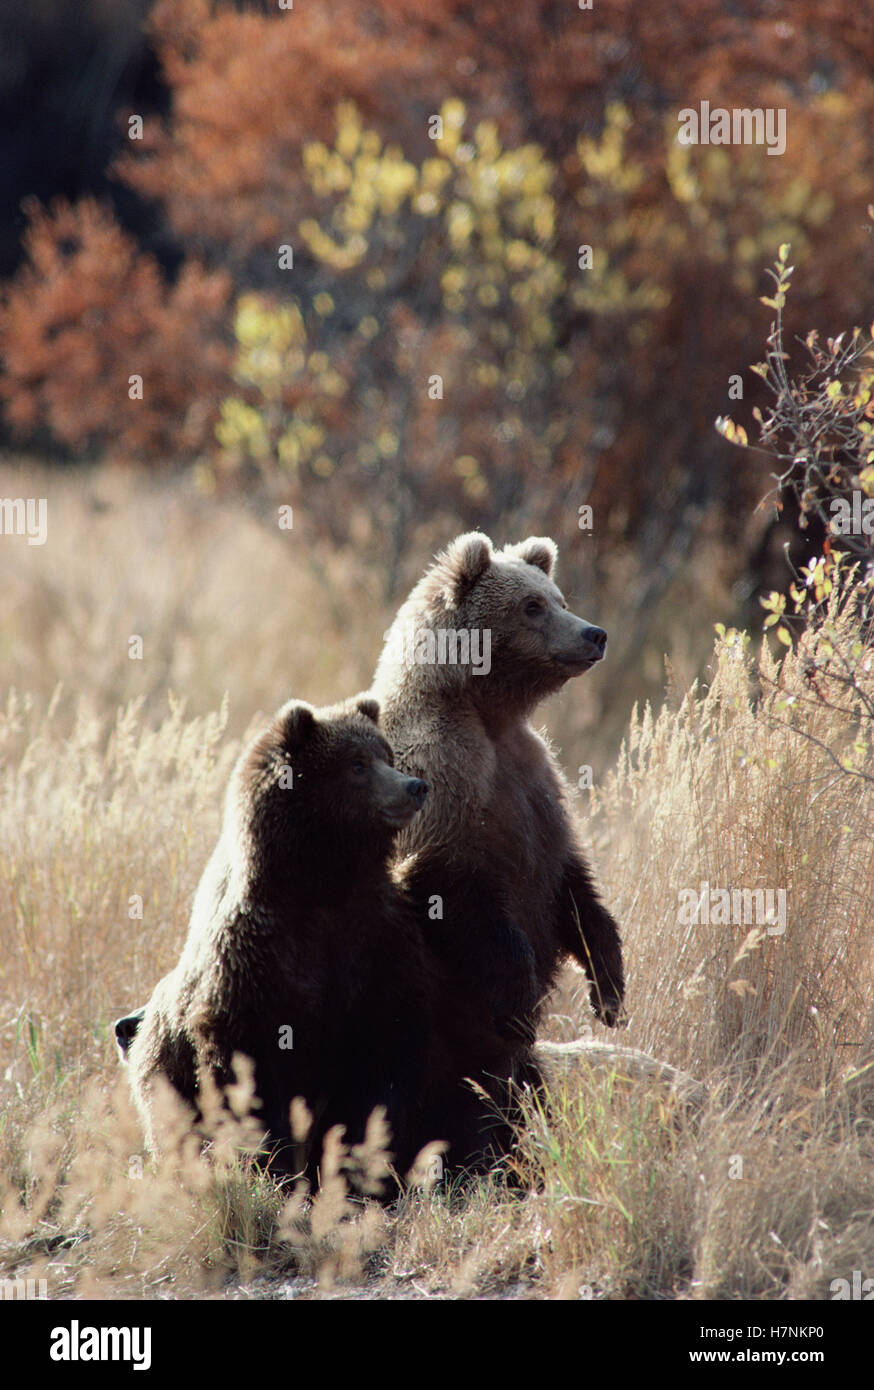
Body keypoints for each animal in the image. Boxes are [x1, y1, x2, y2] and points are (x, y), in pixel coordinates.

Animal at [125, 695, 436, 1188]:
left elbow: (385, 1056)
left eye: (385, 754)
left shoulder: (377, 937)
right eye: (356, 764)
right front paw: (269, 1165)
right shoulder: (255, 961)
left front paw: (363, 1162)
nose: (414, 787)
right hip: (163, 1061)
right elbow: (249, 1072)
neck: (321, 884)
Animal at [370, 531, 625, 1088]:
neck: (487, 712)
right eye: (531, 606)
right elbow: (453, 884)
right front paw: (519, 998)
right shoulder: (443, 777)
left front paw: (609, 989)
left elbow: (573, 883)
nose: (595, 634)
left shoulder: (536, 783)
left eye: (559, 599)